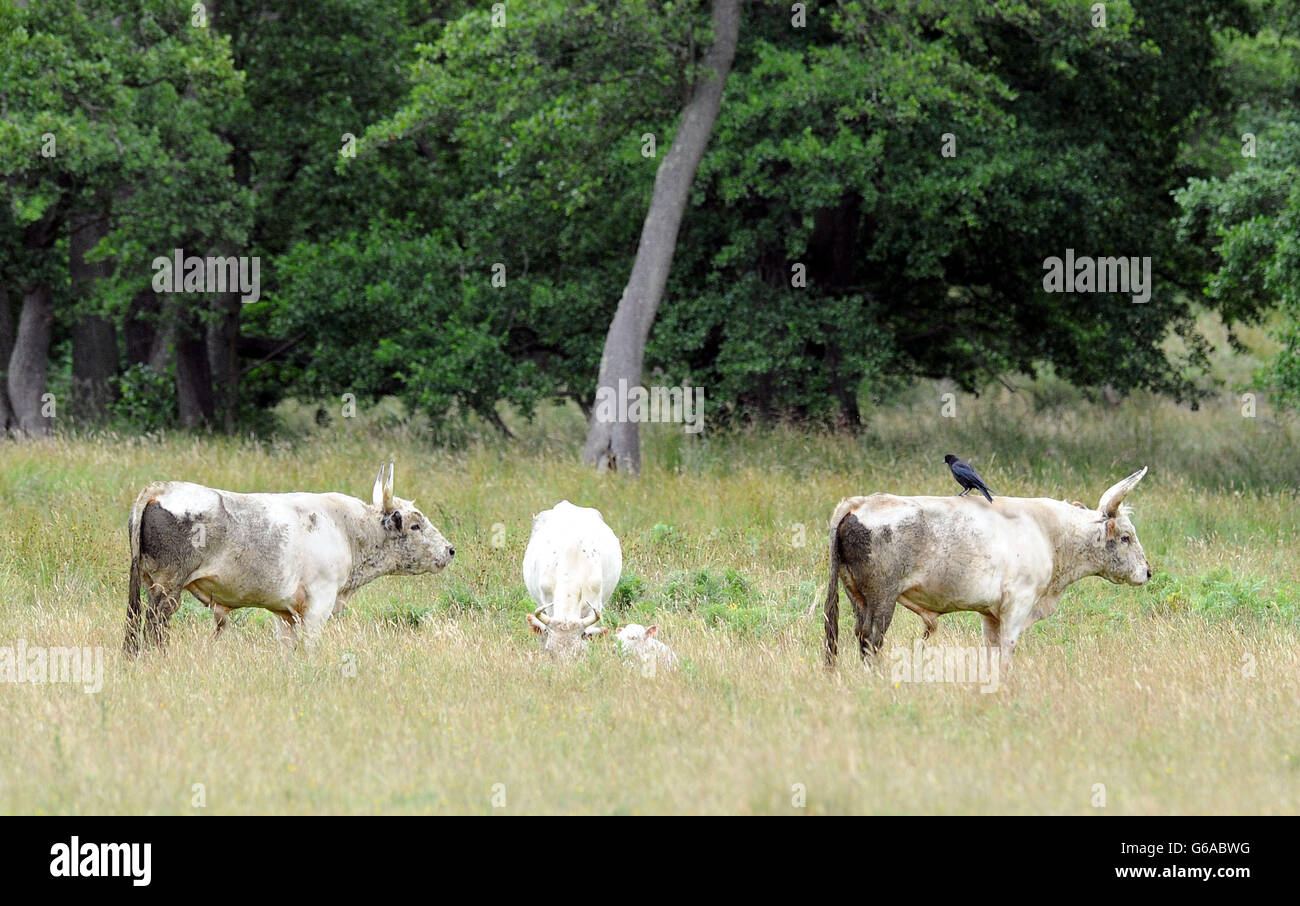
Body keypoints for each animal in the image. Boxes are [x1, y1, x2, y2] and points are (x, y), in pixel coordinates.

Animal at [124, 462, 454, 655]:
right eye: (415, 525)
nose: (450, 550)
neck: (346, 528)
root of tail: (161, 488)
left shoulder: (285, 613)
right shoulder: (319, 605)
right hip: (168, 589)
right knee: (155, 626)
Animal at [823, 467, 1151, 668]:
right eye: (1126, 536)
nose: (1147, 572)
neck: (1049, 532)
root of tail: (857, 504)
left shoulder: (990, 613)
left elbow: (992, 652)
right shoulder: (1017, 604)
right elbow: (1008, 649)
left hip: (857, 596)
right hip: (882, 598)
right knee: (872, 639)